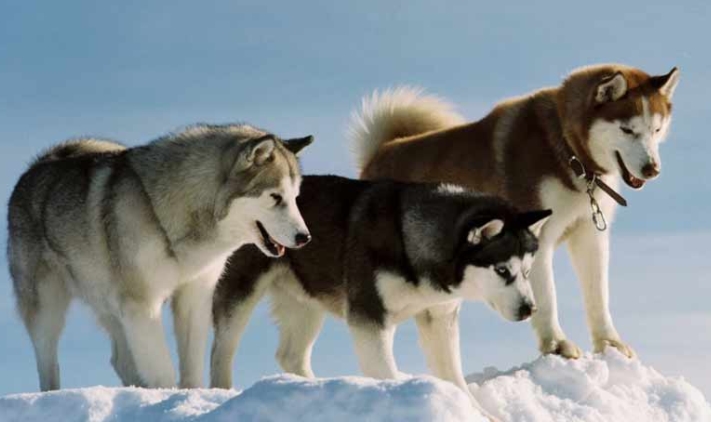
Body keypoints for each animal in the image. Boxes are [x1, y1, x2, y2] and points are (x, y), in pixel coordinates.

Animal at [7, 124, 313, 391]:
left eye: (296, 197)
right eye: (275, 197)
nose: (305, 238)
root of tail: (39, 163)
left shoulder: (192, 297)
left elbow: (190, 367)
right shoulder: (142, 304)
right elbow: (162, 369)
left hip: (111, 305)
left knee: (120, 359)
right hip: (47, 308)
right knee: (49, 364)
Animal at [210, 175, 551, 420]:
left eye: (527, 271)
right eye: (503, 270)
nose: (530, 309)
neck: (411, 240)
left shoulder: (438, 316)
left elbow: (453, 376)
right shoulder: (369, 316)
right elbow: (385, 370)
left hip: (307, 300)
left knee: (290, 354)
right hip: (241, 291)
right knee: (221, 349)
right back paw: (220, 392)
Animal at [349, 64, 680, 359]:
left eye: (656, 129)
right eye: (627, 130)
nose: (652, 169)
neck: (566, 147)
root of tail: (381, 151)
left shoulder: (589, 234)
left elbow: (598, 295)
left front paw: (610, 345)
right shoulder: (537, 236)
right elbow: (547, 297)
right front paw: (557, 345)